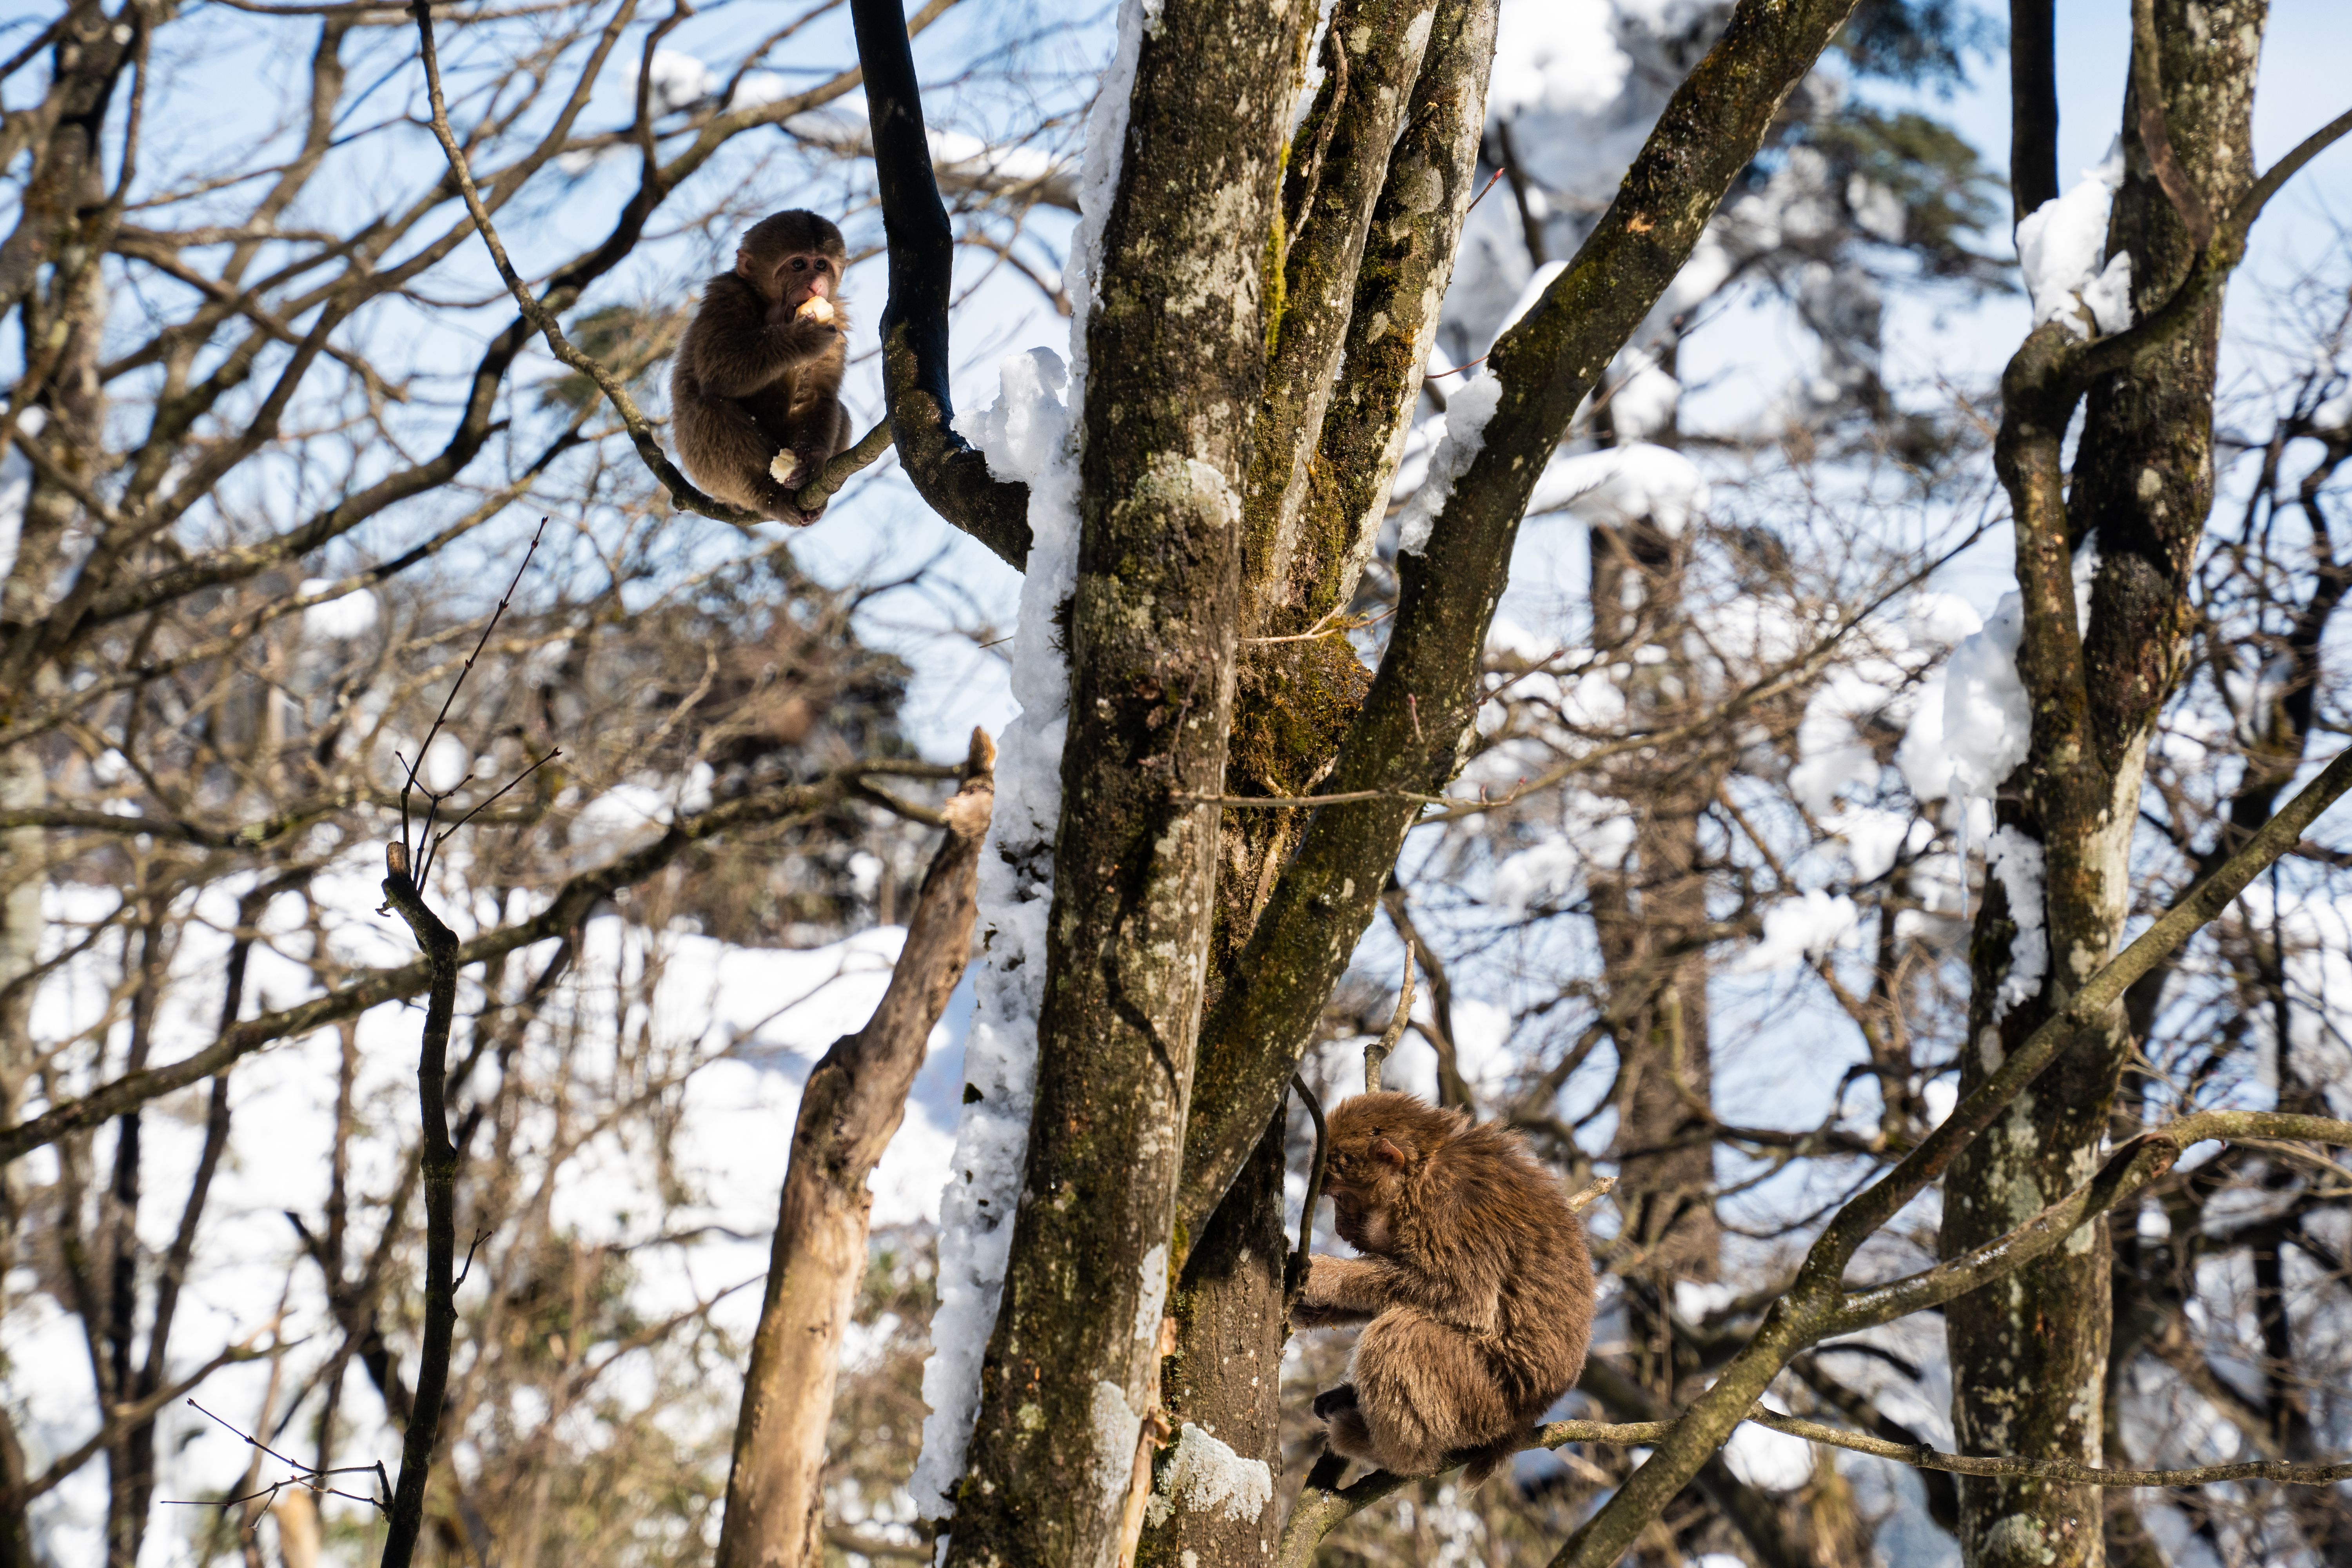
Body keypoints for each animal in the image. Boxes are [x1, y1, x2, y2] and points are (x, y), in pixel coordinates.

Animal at [671, 210, 854, 524]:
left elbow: (817, 395)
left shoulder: (838, 316)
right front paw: (802, 338)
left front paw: (813, 459)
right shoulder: (727, 294)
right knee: (707, 406)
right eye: (798, 264)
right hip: (711, 481)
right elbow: (719, 368)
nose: (815, 284)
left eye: (821, 265)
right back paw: (768, 496)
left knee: (837, 407)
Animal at [1292, 1091, 1595, 1484]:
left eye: (1342, 1198)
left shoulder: (1450, 1203)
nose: (1340, 1228)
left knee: (1401, 1335)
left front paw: (1324, 1276)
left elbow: (1462, 1296)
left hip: (1484, 1396)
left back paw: (1388, 1452)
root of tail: (1521, 1425)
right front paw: (1312, 1307)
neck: (1418, 1176)